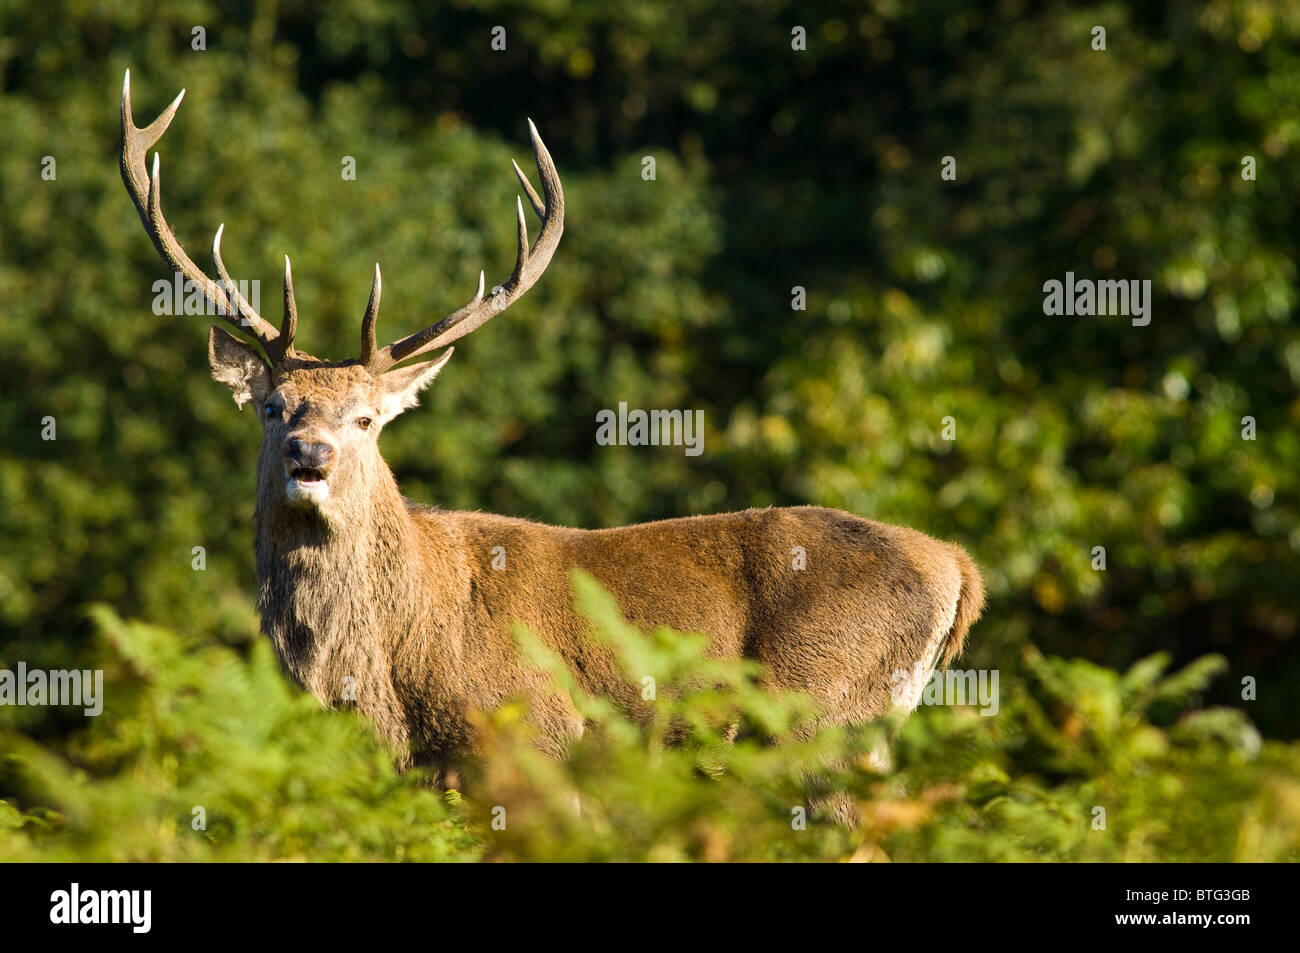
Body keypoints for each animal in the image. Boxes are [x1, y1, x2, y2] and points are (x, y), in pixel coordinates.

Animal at [120, 72, 985, 790]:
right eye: (273, 407)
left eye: (367, 418)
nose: (310, 454)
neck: (388, 676)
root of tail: (957, 567)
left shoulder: (538, 735)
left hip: (825, 717)